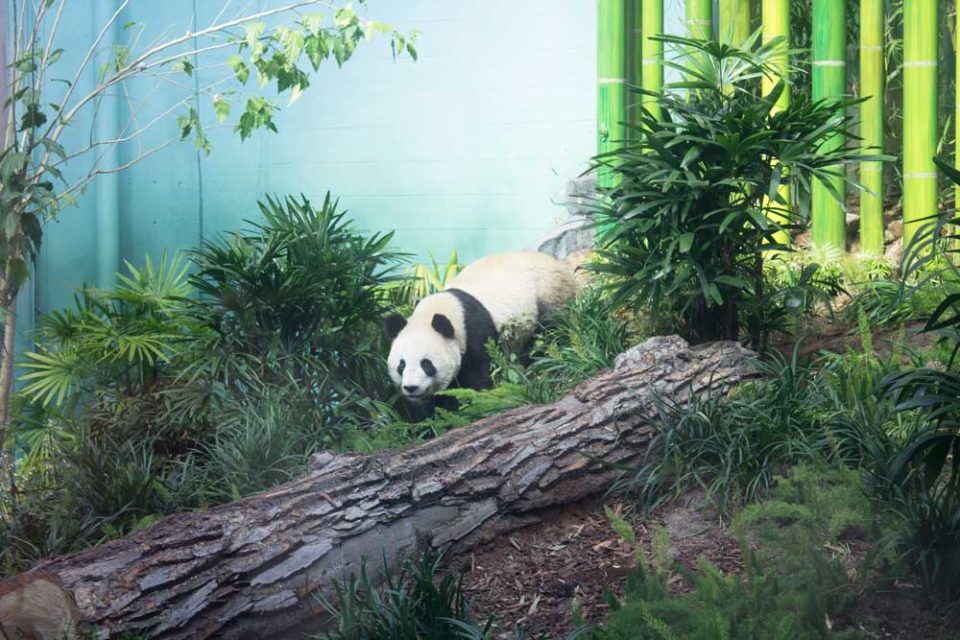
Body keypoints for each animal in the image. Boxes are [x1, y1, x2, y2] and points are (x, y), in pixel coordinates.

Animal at [384, 251, 579, 408]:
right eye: (401, 364)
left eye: (426, 364)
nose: (411, 388)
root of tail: (557, 262)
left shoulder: (475, 334)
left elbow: (477, 379)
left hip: (548, 294)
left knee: (549, 334)